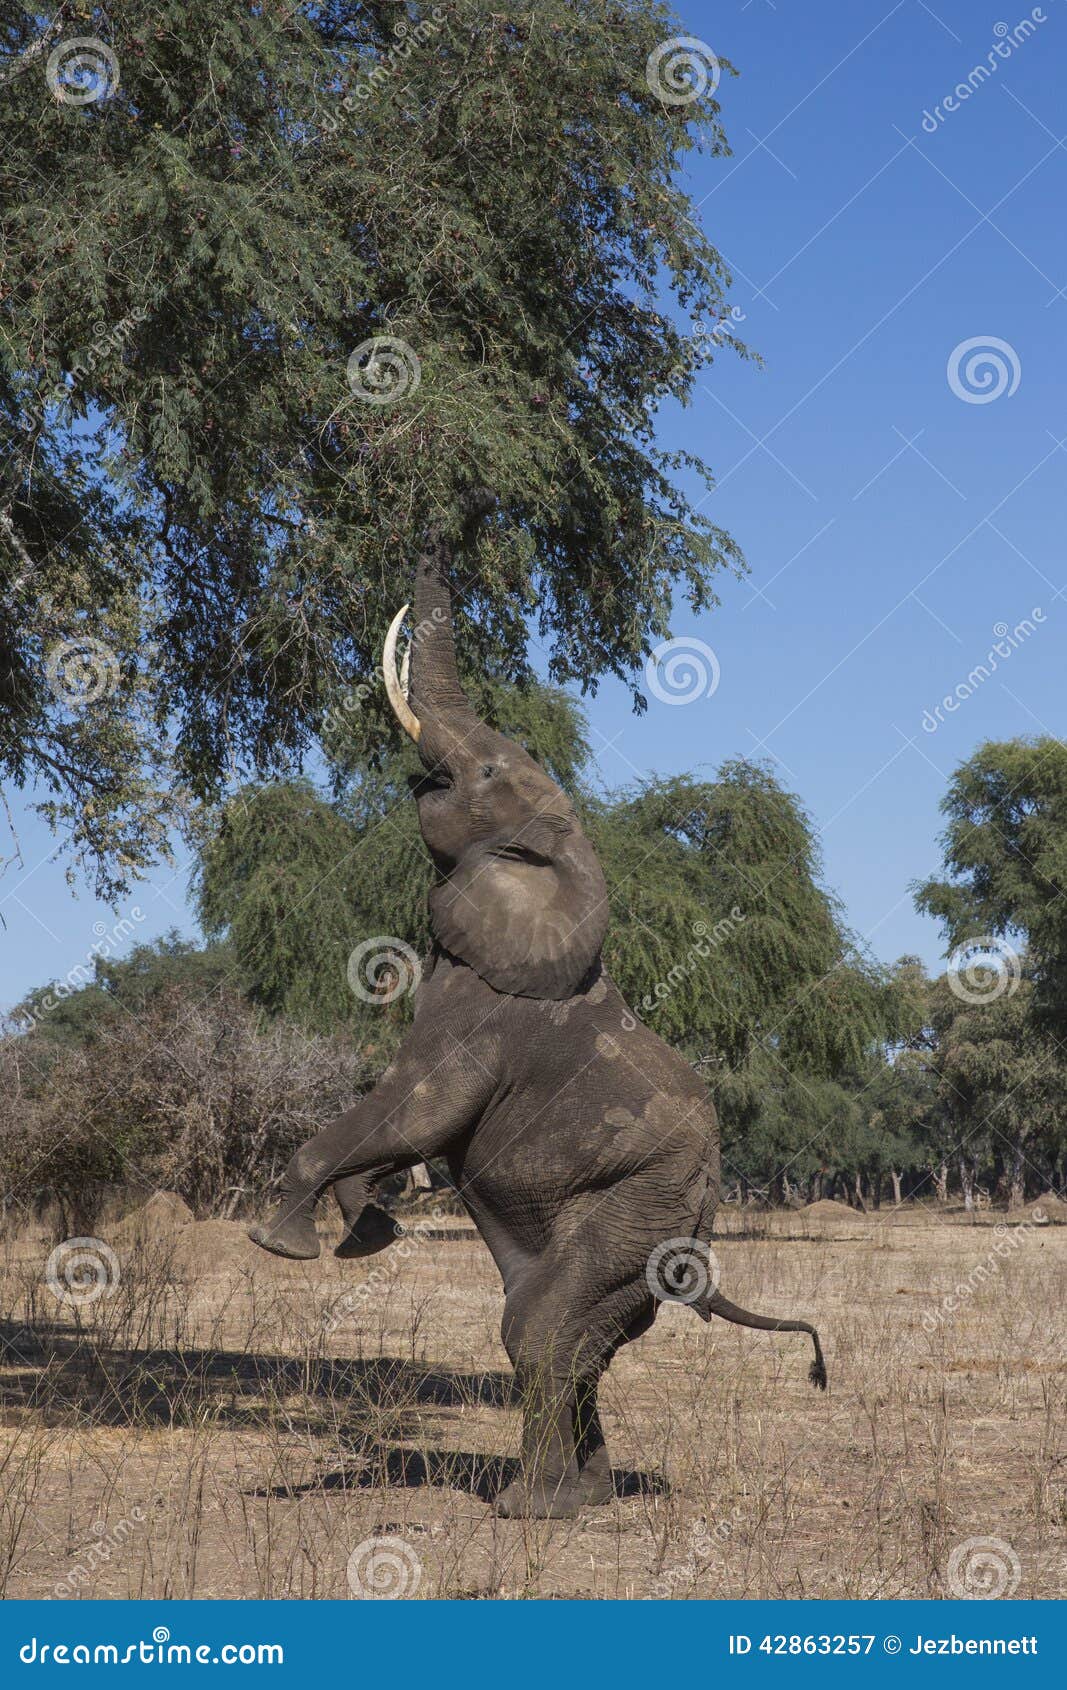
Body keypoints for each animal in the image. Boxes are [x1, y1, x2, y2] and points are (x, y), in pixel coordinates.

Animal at [249, 529, 826, 1518]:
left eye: (484, 773)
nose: (435, 536)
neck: (560, 854)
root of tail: (705, 1228)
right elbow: (410, 1129)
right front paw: (368, 1228)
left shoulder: (486, 1016)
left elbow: (420, 1111)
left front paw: (280, 1240)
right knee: (559, 1329)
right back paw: (580, 1497)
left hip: (637, 1203)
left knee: (546, 1328)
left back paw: (533, 1509)